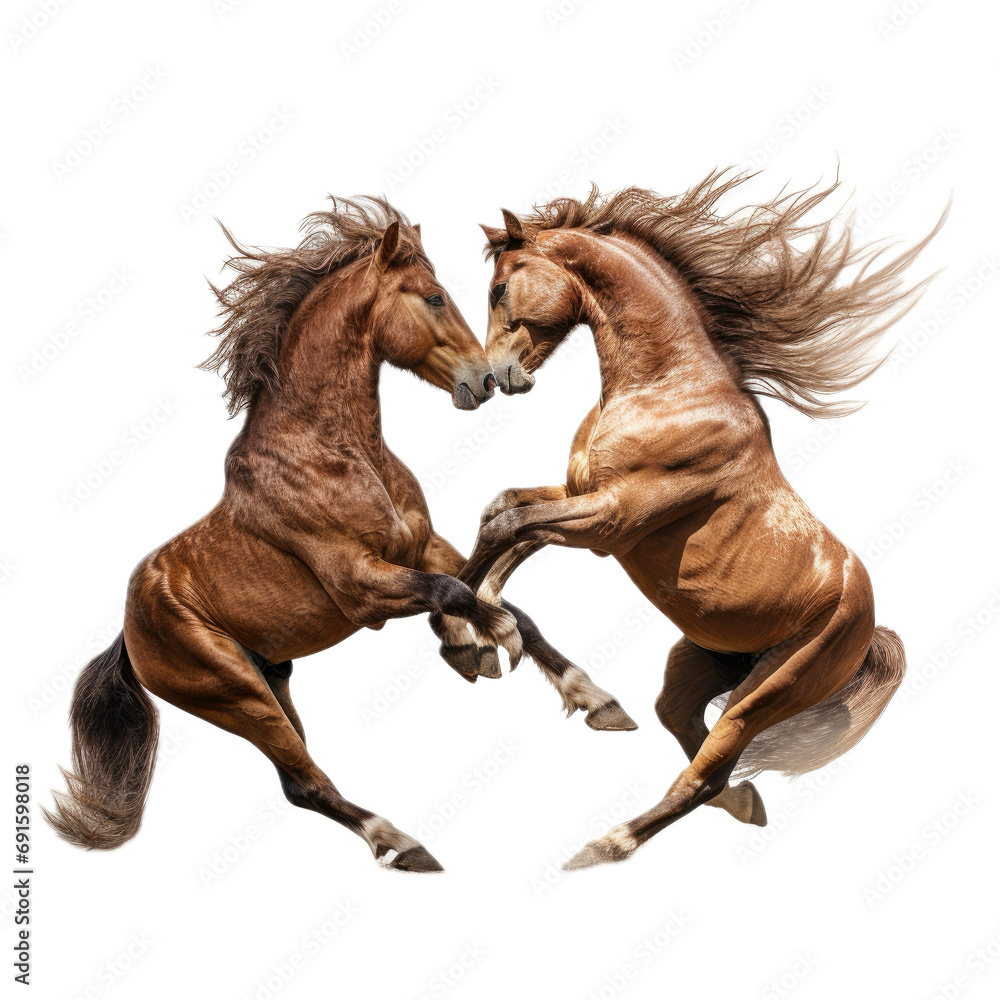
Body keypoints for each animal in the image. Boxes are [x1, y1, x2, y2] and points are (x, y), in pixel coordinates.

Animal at [44, 198, 635, 873]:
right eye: (434, 296)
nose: (486, 380)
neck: (336, 454)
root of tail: (127, 631)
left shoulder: (422, 547)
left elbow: (495, 598)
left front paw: (589, 696)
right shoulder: (360, 588)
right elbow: (458, 594)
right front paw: (483, 644)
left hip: (273, 679)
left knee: (296, 781)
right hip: (234, 694)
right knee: (305, 780)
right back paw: (403, 845)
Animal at [462, 171, 942, 868]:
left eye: (499, 287)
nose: (496, 377)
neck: (668, 389)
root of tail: (868, 622)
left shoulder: (608, 523)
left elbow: (510, 529)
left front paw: (475, 637)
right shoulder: (580, 498)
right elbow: (502, 513)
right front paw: (492, 635)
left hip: (768, 693)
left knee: (706, 772)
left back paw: (603, 847)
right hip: (702, 664)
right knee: (685, 728)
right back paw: (735, 798)